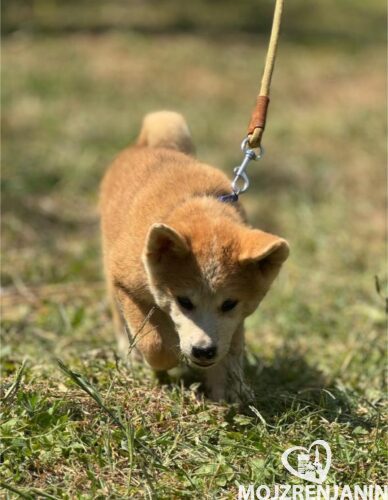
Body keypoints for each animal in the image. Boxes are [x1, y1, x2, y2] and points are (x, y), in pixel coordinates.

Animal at [100, 110, 288, 402]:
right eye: (184, 301)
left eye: (229, 303)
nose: (203, 351)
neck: (194, 202)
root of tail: (148, 144)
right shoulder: (125, 283)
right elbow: (155, 343)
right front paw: (168, 358)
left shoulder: (233, 323)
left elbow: (231, 347)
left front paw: (227, 392)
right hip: (110, 275)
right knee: (121, 322)